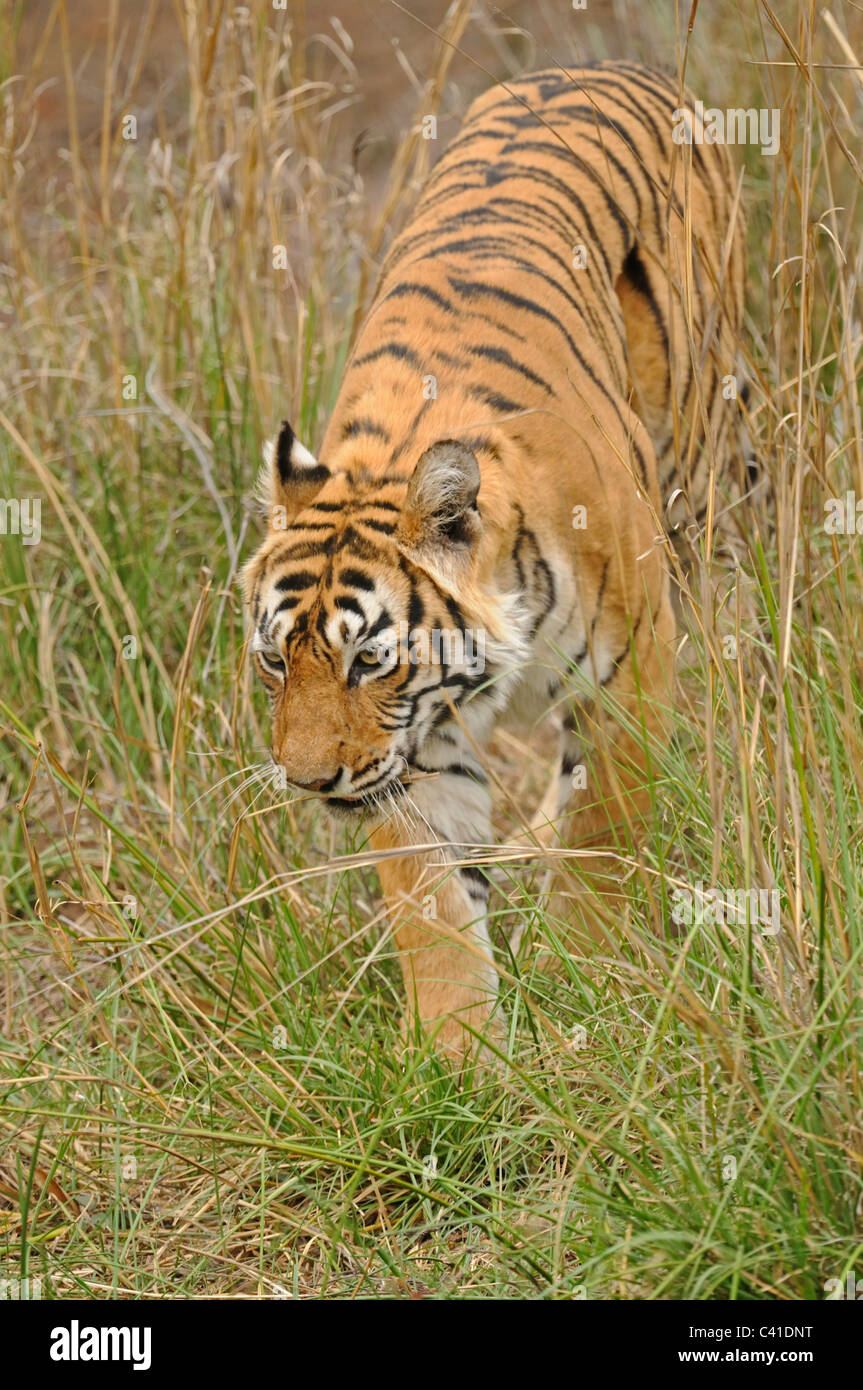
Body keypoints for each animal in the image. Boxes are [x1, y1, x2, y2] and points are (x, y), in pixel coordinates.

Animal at [242, 61, 746, 1059]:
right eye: (277, 660)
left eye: (368, 660)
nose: (308, 782)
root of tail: (603, 68)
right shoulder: (416, 747)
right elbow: (432, 904)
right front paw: (458, 1057)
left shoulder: (629, 669)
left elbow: (604, 838)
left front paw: (590, 981)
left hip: (704, 467)